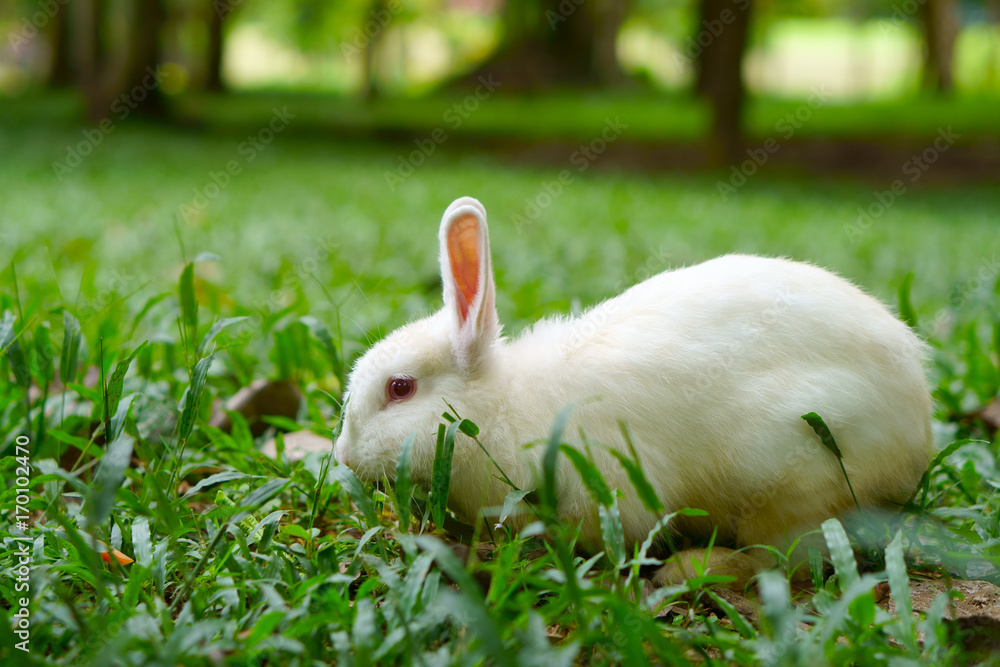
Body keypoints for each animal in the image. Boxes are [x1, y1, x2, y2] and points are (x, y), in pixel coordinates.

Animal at [333, 196, 933, 586]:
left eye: (400, 388)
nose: (342, 456)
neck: (504, 403)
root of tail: (918, 436)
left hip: (793, 470)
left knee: (791, 557)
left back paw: (696, 569)